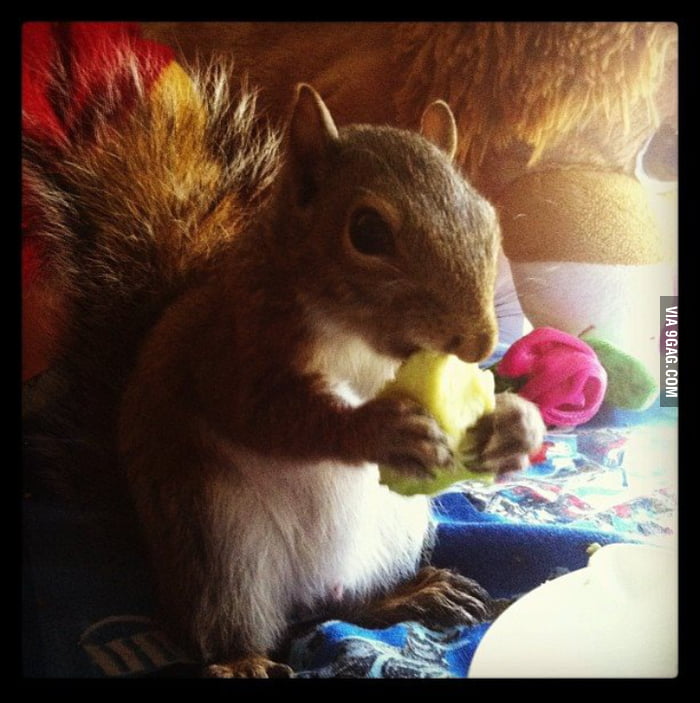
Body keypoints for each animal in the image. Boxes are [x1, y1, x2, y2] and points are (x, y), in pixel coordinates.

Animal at [23, 45, 544, 677]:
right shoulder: (230, 347)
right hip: (216, 544)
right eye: (367, 232)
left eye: (487, 217)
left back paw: (409, 595)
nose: (478, 343)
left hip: (391, 534)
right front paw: (378, 430)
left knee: (342, 606)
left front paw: (515, 424)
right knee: (232, 622)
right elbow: (265, 415)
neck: (358, 340)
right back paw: (241, 660)